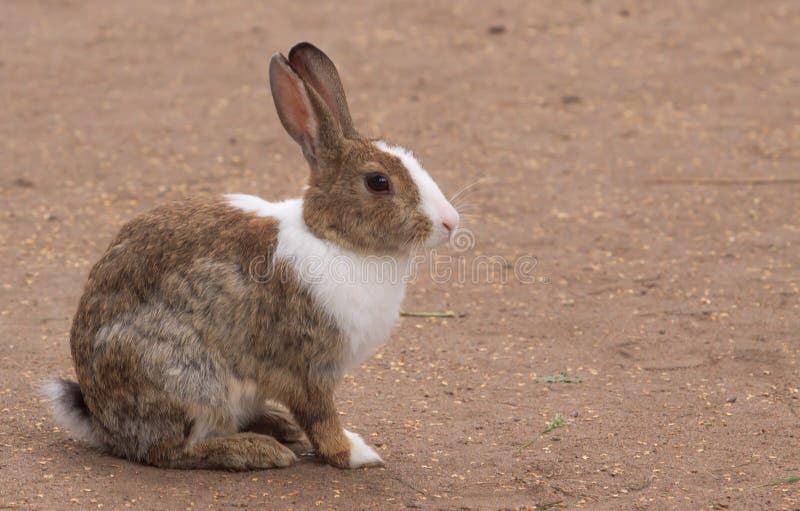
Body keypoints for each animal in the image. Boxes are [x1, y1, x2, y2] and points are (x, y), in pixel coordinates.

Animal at [43, 42, 459, 471]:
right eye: (378, 182)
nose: (450, 223)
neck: (334, 239)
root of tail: (101, 420)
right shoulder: (308, 368)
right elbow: (322, 417)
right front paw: (356, 454)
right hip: (188, 377)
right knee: (171, 451)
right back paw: (260, 450)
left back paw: (277, 427)